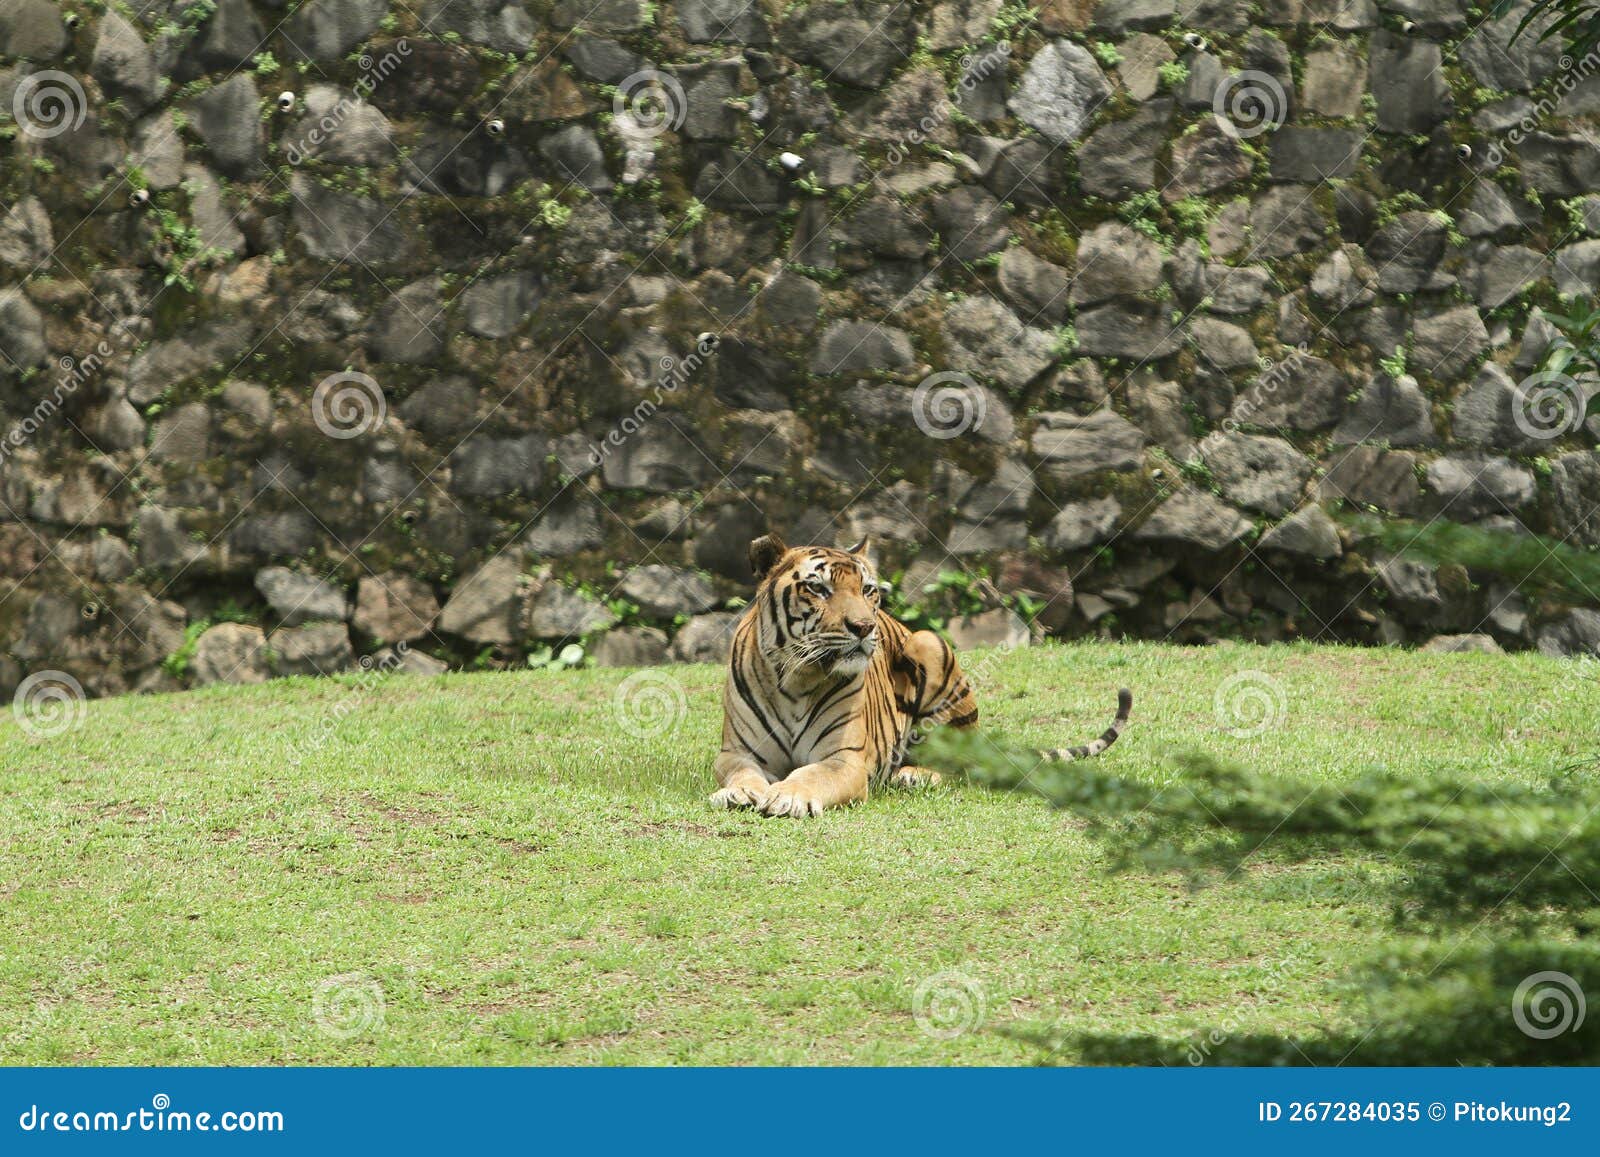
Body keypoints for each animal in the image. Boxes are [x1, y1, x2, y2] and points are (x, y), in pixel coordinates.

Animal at [710, 532, 1133, 818]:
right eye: (819, 589)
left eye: (867, 590)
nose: (864, 627)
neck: (797, 679)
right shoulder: (737, 753)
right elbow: (742, 775)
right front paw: (739, 794)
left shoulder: (844, 759)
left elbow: (811, 775)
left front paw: (786, 795)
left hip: (931, 645)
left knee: (958, 764)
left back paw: (915, 775)